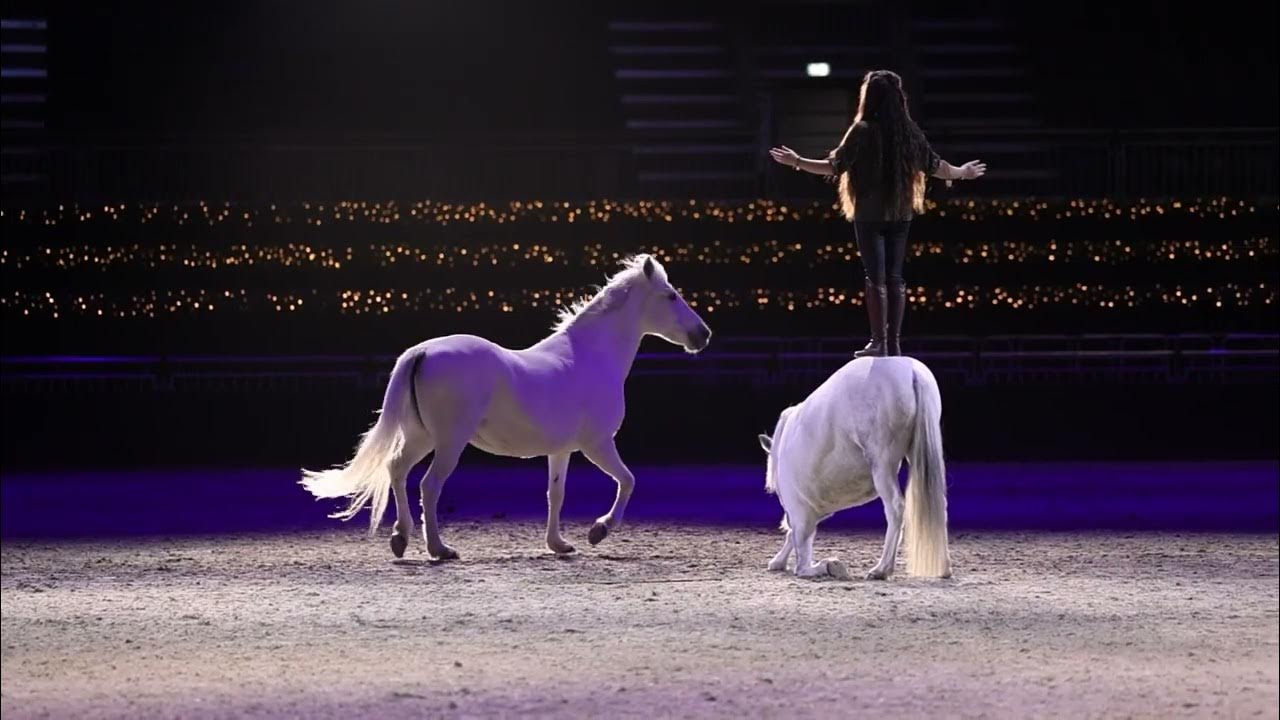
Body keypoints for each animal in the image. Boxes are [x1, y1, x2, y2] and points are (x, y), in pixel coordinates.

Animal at [301, 255, 711, 560]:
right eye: (671, 296)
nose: (703, 335)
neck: (591, 357)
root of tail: (422, 352)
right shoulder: (597, 444)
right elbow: (627, 481)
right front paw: (599, 531)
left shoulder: (561, 450)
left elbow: (555, 494)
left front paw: (559, 545)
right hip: (449, 441)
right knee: (429, 485)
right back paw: (439, 549)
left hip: (422, 436)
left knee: (397, 470)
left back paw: (401, 539)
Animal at [757, 356, 950, 580]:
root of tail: (911, 370)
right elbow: (793, 537)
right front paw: (778, 562)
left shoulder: (800, 512)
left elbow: (802, 562)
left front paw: (828, 566)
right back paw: (943, 568)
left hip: (882, 465)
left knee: (895, 508)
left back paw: (881, 569)